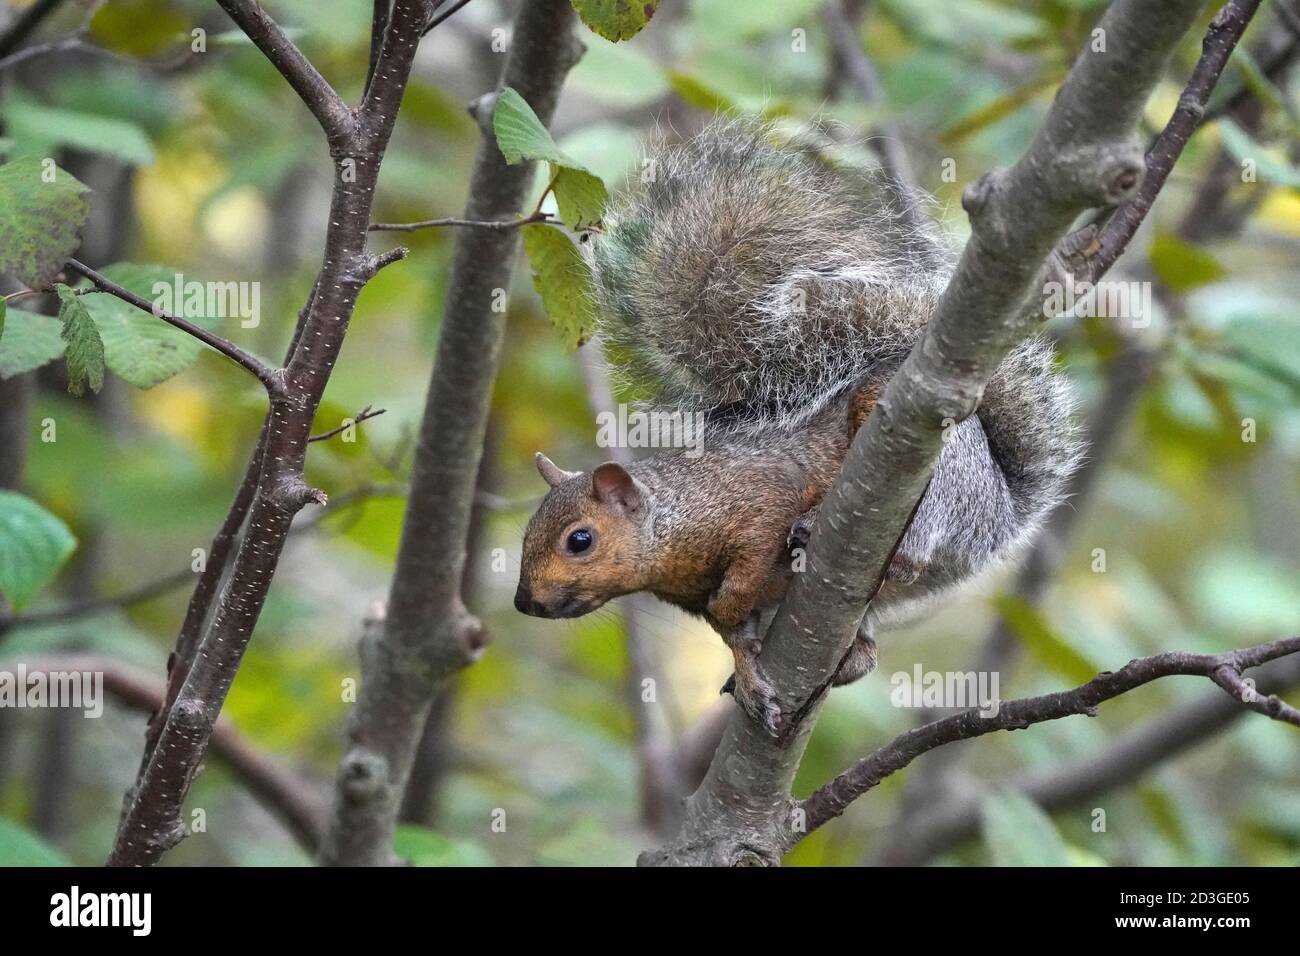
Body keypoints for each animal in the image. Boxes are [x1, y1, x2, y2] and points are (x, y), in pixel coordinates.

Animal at [516, 119, 1084, 735]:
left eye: (580, 540)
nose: (524, 603)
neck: (677, 522)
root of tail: (1003, 510)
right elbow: (731, 633)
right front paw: (746, 672)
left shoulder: (759, 501)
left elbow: (743, 575)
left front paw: (736, 605)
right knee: (872, 642)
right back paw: (851, 656)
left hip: (947, 472)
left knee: (922, 534)